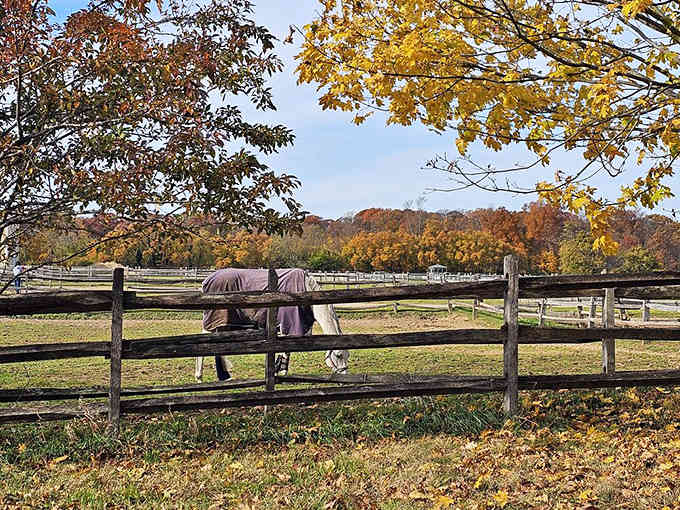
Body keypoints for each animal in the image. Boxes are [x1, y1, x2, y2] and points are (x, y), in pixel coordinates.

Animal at [195, 268, 349, 381]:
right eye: (338, 355)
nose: (344, 377)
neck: (305, 292)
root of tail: (207, 279)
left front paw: (280, 370)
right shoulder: (288, 325)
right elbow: (285, 349)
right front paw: (280, 371)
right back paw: (199, 376)